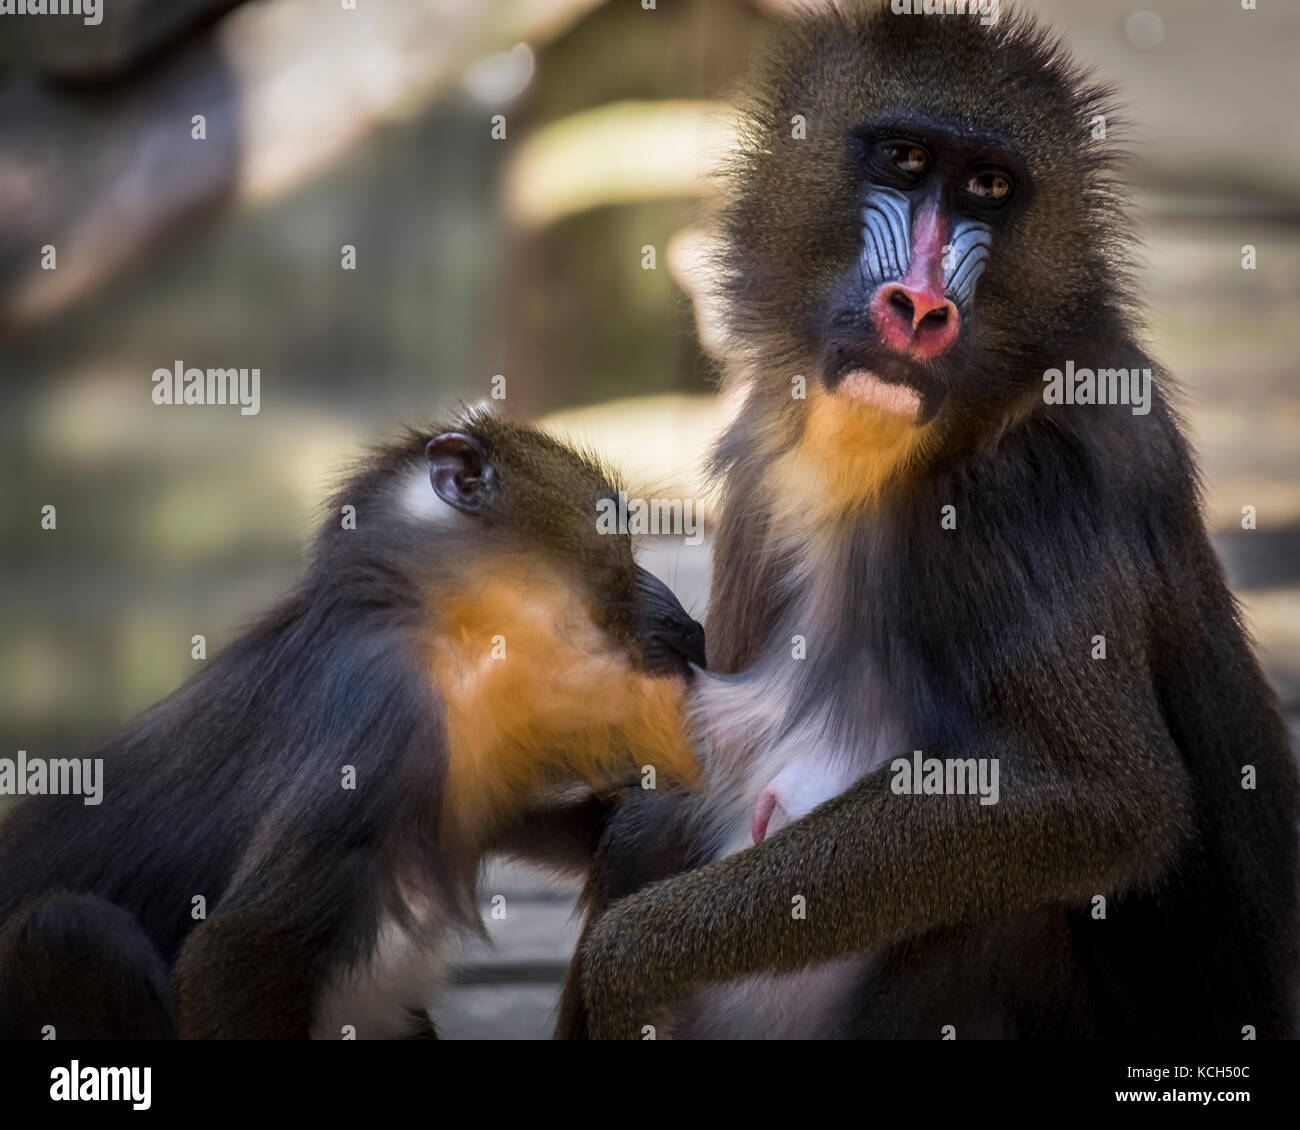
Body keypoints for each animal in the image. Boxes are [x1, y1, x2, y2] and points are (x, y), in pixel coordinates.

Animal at [0, 408, 704, 1040]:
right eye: (619, 543)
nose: (684, 619)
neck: (435, 622)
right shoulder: (383, 709)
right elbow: (235, 950)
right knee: (73, 930)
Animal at [558, 2, 1299, 1040]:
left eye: (989, 188)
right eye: (905, 161)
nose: (920, 309)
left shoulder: (1031, 485)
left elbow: (1094, 798)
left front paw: (628, 963)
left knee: (995, 902)